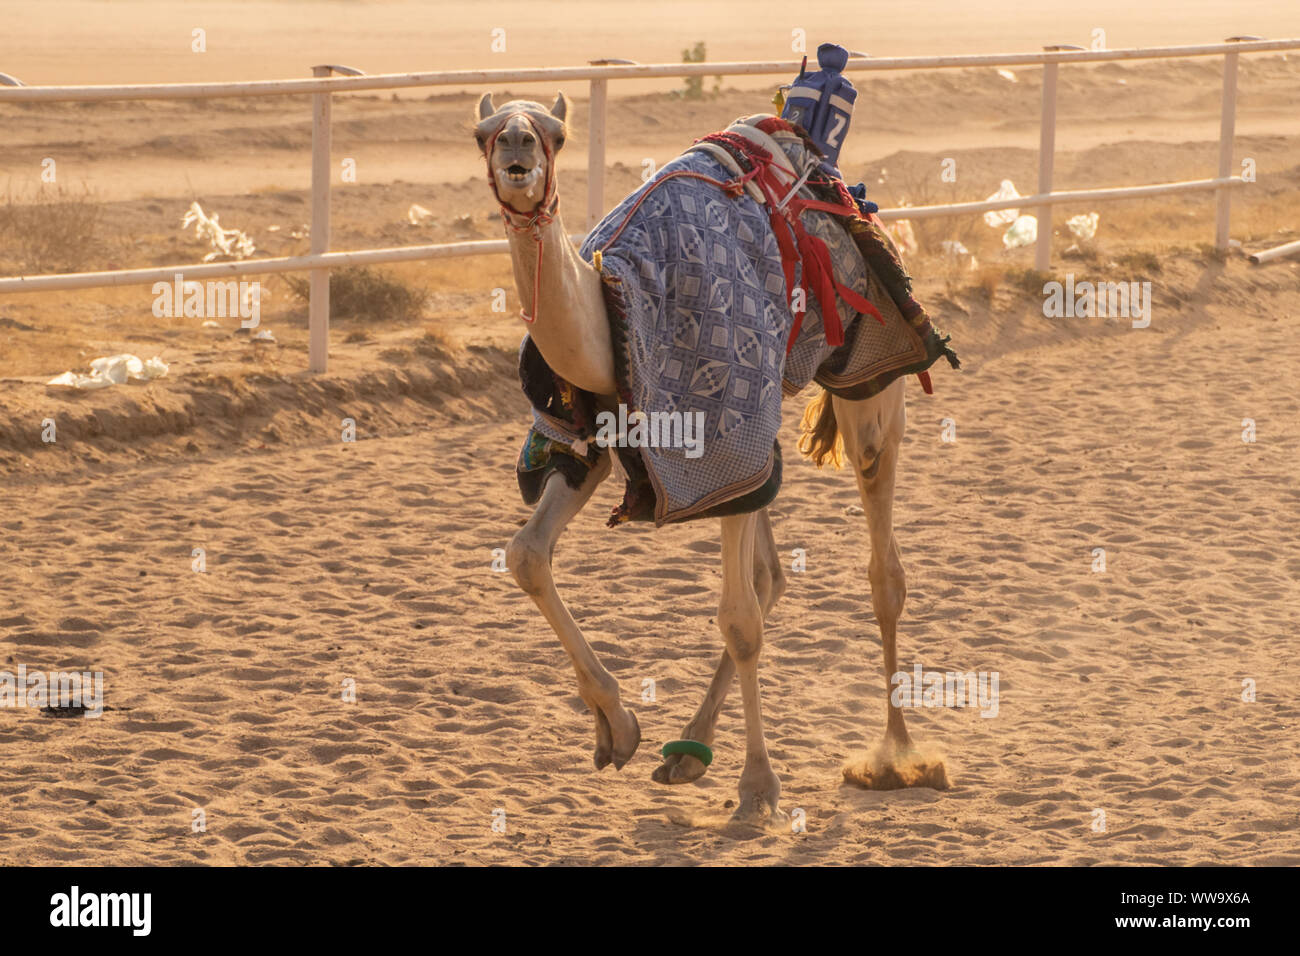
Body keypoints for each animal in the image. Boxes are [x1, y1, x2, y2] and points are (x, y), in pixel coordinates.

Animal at [474, 92, 948, 825]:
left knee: (881, 567)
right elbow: (527, 556)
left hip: (869, 369)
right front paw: (617, 728)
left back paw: (896, 756)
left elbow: (740, 621)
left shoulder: (726, 442)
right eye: (484, 134)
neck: (614, 309)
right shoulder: (601, 441)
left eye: (556, 133)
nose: (518, 152)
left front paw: (757, 785)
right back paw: (688, 750)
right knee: (771, 574)